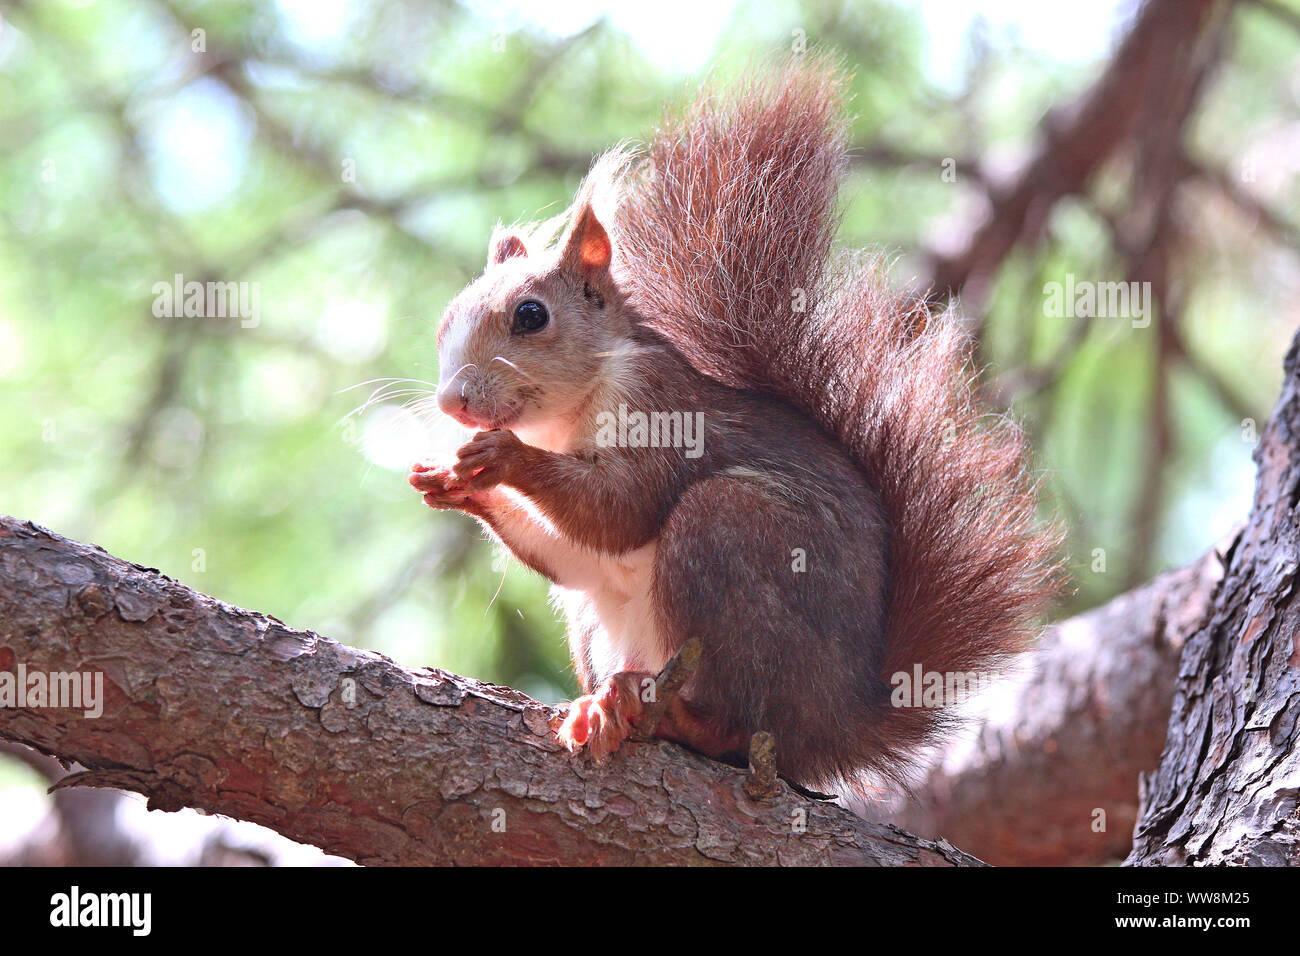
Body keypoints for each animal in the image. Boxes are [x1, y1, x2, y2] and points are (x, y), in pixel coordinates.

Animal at [408, 59, 1064, 792]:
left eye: (530, 316)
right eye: (446, 318)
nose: (454, 402)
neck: (564, 416)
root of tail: (839, 726)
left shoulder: (660, 407)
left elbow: (620, 509)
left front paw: (504, 459)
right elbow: (573, 556)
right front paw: (454, 484)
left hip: (729, 540)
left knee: (738, 723)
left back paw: (672, 717)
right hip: (600, 623)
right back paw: (603, 710)